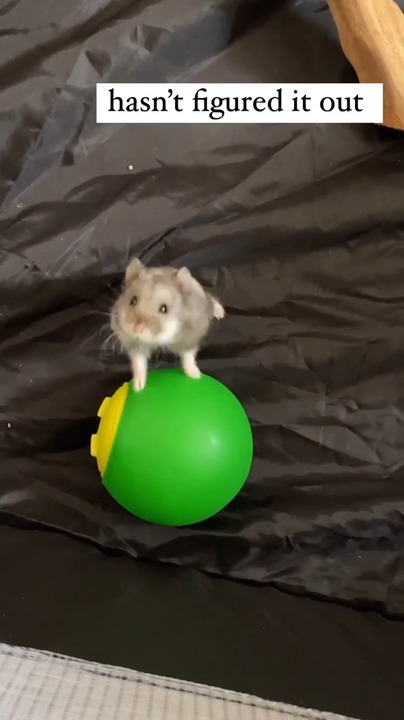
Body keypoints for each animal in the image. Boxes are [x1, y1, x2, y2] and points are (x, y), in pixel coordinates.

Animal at [110, 258, 225, 391]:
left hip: (207, 303)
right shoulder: (134, 344)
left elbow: (188, 357)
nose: (137, 329)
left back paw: (221, 313)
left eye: (164, 309)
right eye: (132, 301)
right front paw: (138, 387)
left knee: (212, 300)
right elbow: (139, 362)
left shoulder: (190, 338)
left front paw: (195, 376)